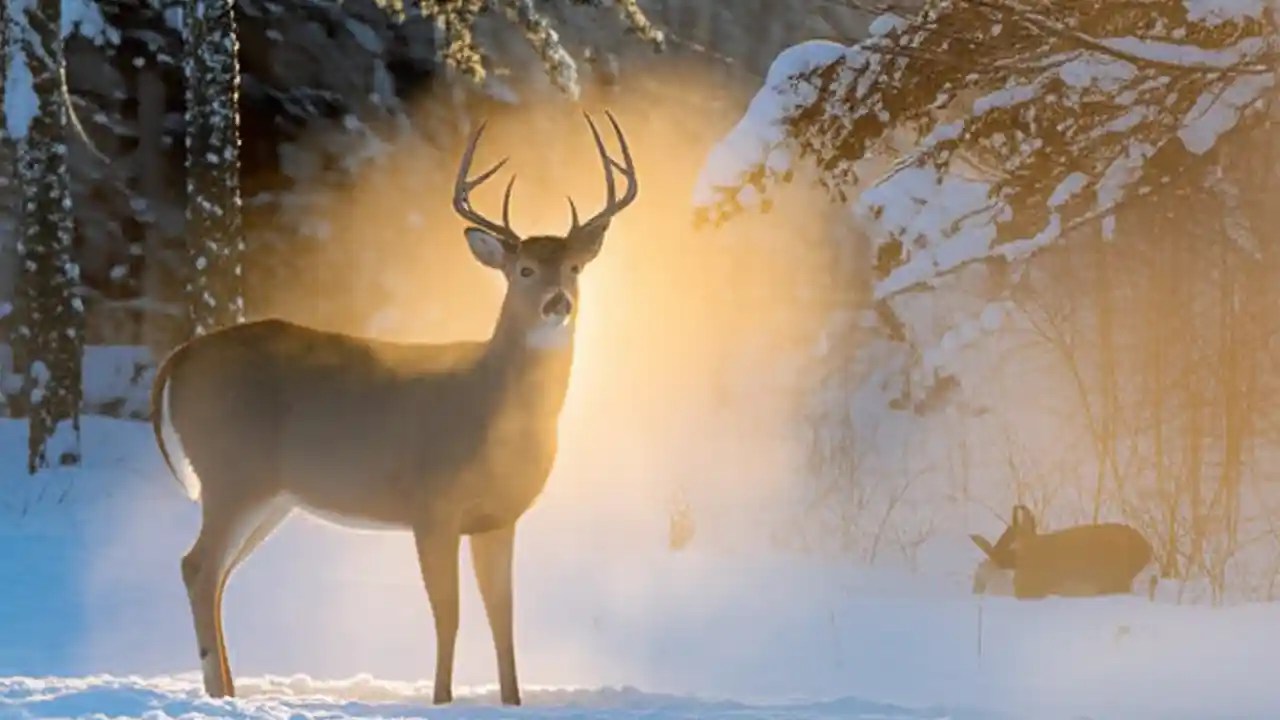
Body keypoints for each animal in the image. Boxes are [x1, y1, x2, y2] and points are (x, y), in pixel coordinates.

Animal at [149, 112, 638, 706]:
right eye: (523, 269)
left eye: (573, 267)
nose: (557, 303)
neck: (493, 405)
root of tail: (176, 358)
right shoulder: (431, 506)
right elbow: (448, 616)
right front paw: (442, 700)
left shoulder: (498, 517)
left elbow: (503, 619)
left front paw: (512, 701)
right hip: (232, 472)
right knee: (197, 567)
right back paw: (220, 694)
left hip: (271, 497)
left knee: (216, 575)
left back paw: (230, 690)